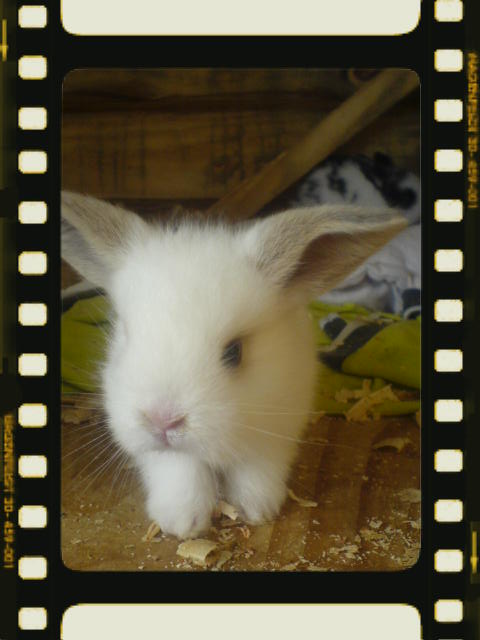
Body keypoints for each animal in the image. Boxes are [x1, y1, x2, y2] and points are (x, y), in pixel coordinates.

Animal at [61, 191, 406, 539]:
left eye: (234, 351)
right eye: (127, 334)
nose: (162, 421)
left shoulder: (276, 428)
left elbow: (257, 469)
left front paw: (255, 509)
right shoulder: (162, 454)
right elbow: (180, 472)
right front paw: (184, 524)